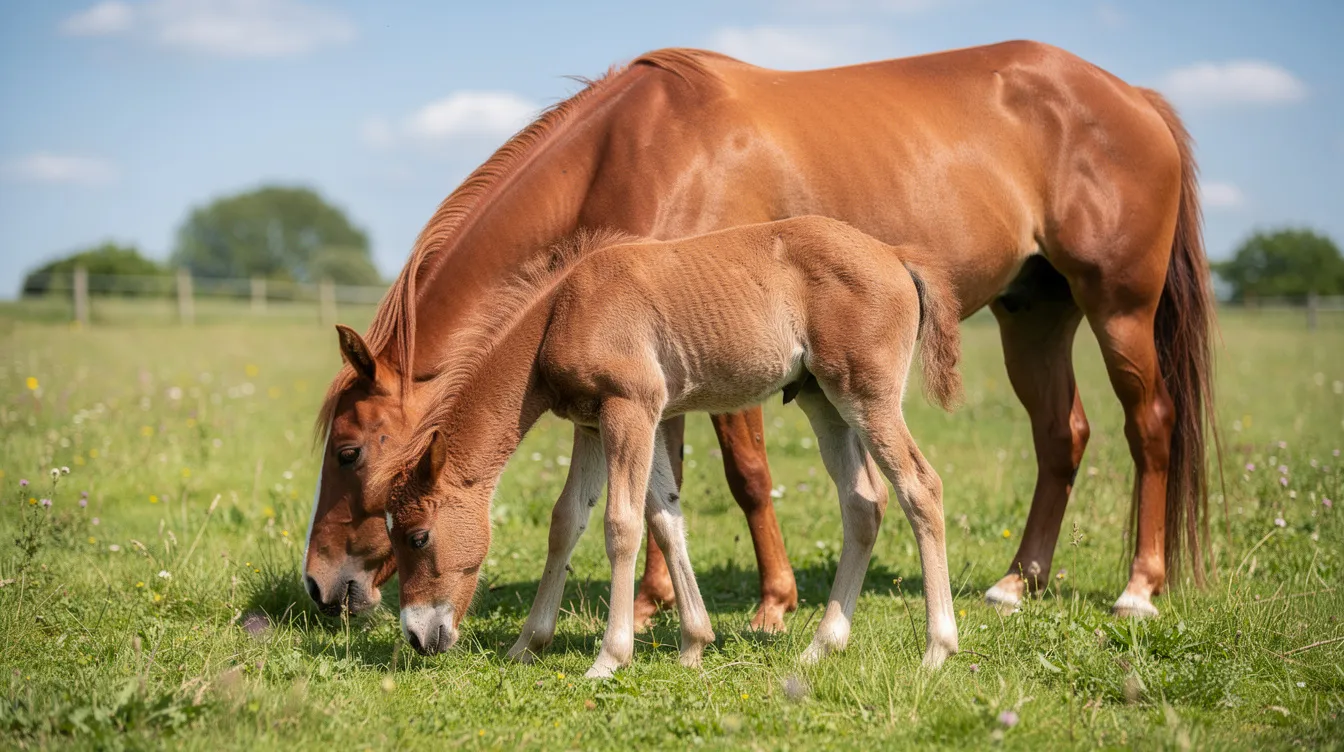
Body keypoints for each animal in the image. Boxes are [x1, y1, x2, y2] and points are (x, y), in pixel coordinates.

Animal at [305, 40, 1216, 629]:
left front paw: (772, 604)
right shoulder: (656, 371)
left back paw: (1139, 588)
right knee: (1063, 436)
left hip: (1119, 311)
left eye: (350, 452)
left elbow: (745, 477)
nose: (318, 586)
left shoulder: (724, 360)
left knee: (1149, 427)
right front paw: (656, 607)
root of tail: (1137, 98)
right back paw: (1015, 584)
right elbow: (661, 492)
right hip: (1035, 316)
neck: (637, 150)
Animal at [374, 217, 963, 676]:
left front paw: (610, 657)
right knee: (863, 504)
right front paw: (686, 644)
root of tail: (895, 256)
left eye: (418, 537)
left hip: (866, 395)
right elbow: (606, 519)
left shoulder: (629, 407)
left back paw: (937, 648)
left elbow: (622, 524)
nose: (417, 636)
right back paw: (821, 646)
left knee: (921, 486)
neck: (564, 308)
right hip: (823, 400)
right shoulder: (601, 424)